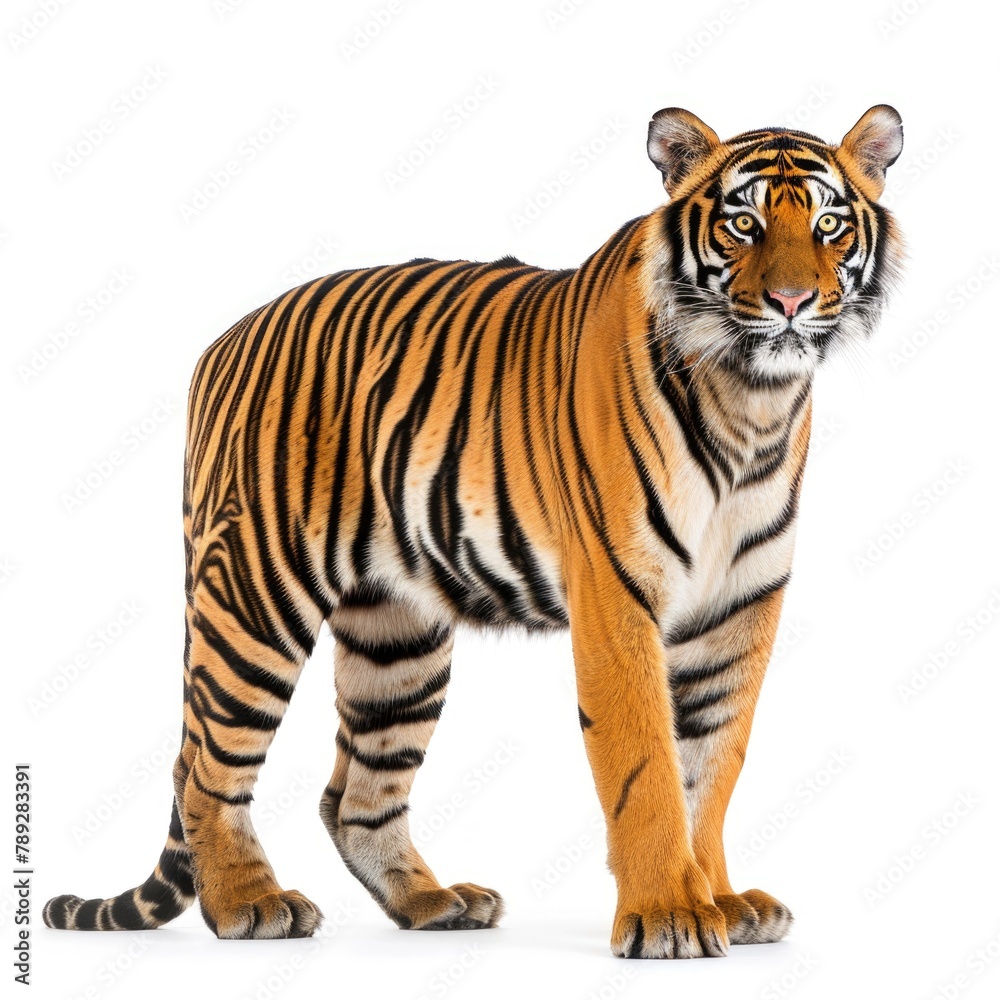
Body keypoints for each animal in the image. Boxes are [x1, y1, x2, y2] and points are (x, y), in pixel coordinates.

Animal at [44, 105, 903, 959]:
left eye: (828, 224)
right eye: (742, 224)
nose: (791, 301)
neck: (750, 400)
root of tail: (222, 342)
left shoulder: (740, 606)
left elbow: (713, 764)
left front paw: (720, 899)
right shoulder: (618, 596)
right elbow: (649, 768)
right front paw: (669, 913)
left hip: (398, 638)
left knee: (353, 796)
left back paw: (433, 902)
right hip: (256, 591)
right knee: (206, 769)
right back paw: (251, 904)